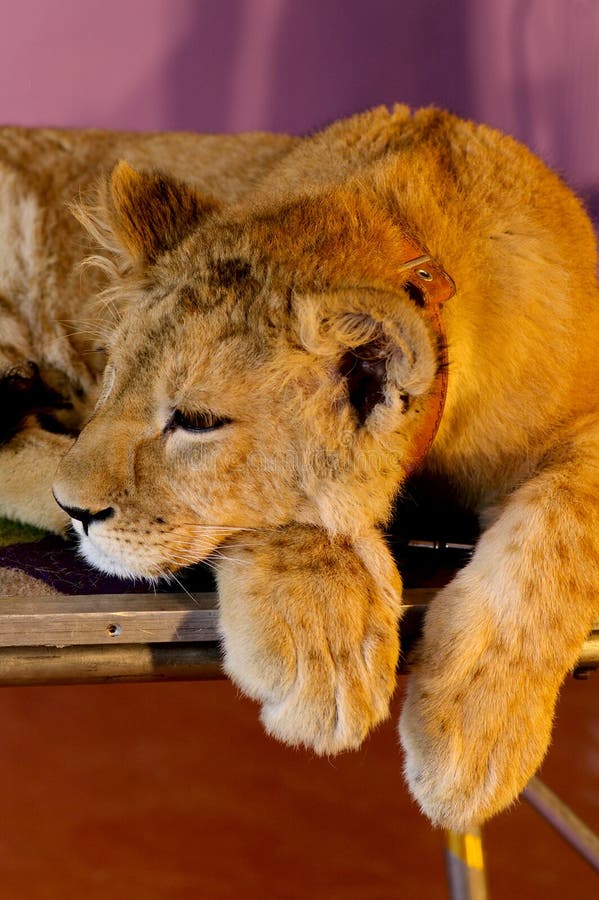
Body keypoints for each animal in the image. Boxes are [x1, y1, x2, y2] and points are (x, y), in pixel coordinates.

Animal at [1, 106, 598, 831]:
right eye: (113, 383)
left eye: (196, 421)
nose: (75, 507)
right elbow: (296, 514)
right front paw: (326, 655)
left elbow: (565, 531)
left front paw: (478, 726)